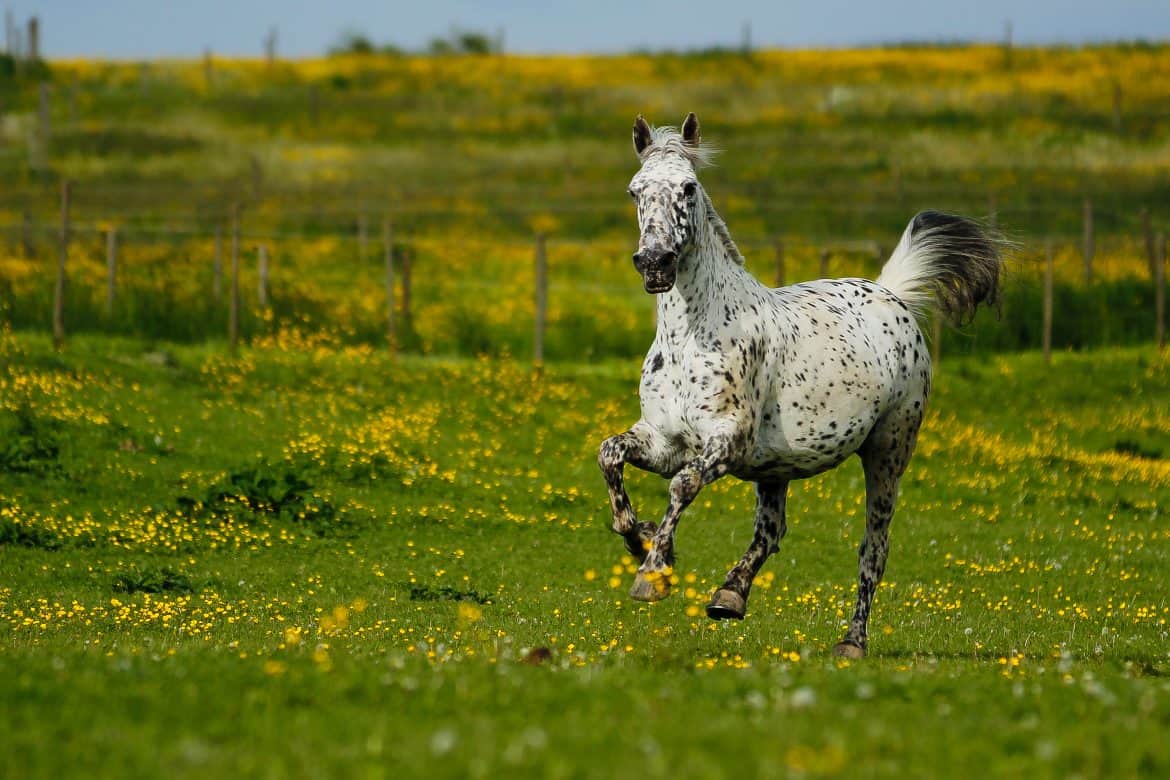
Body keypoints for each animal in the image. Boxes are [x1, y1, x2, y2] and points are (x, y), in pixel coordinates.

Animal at [598, 113, 1002, 658]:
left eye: (688, 187)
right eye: (635, 190)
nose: (655, 263)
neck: (693, 336)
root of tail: (890, 293)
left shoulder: (725, 441)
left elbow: (682, 485)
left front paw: (652, 572)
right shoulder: (663, 441)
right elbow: (611, 453)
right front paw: (638, 537)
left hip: (889, 450)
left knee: (874, 549)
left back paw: (851, 641)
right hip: (776, 466)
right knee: (771, 532)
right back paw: (729, 595)